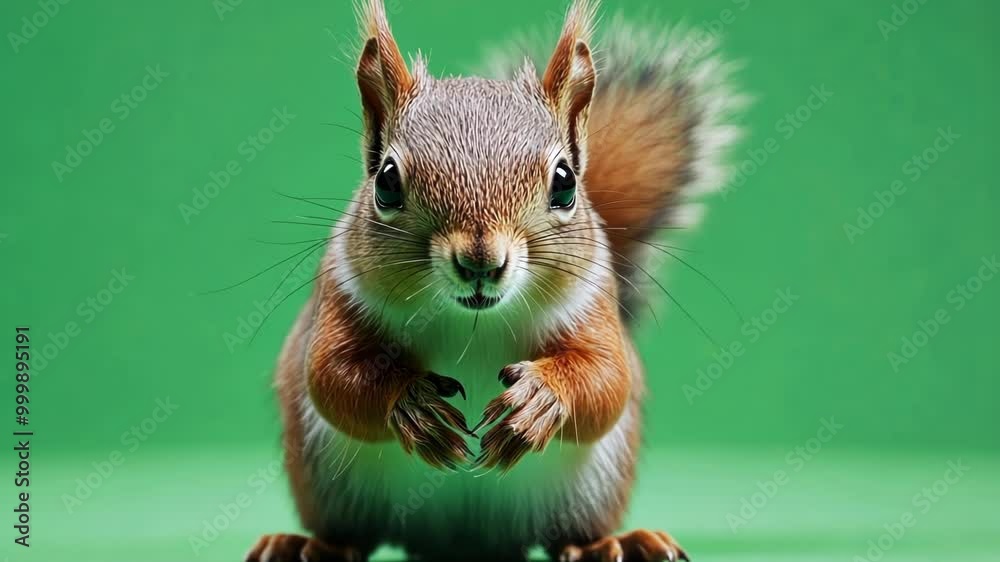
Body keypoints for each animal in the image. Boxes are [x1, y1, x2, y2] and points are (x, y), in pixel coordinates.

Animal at [247, 1, 742, 561]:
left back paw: (615, 543)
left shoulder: (594, 302)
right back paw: (308, 545)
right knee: (350, 536)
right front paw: (413, 402)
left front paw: (541, 398)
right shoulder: (341, 294)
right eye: (387, 182)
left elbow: (606, 379)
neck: (473, 322)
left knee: (572, 533)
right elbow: (333, 375)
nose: (481, 262)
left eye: (565, 182)